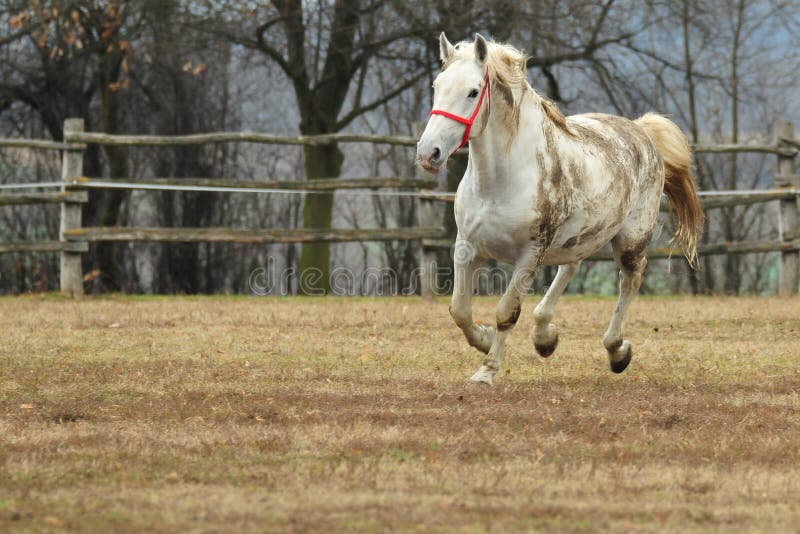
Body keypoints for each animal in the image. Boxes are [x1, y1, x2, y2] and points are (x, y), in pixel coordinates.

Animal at [416, 34, 703, 385]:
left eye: (472, 91)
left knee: (630, 280)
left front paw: (486, 371)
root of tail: (642, 131)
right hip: (577, 236)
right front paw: (484, 340)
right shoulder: (467, 245)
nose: (429, 153)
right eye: (437, 85)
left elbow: (506, 312)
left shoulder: (530, 253)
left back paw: (617, 351)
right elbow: (459, 310)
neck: (500, 180)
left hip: (630, 241)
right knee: (572, 267)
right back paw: (545, 337)